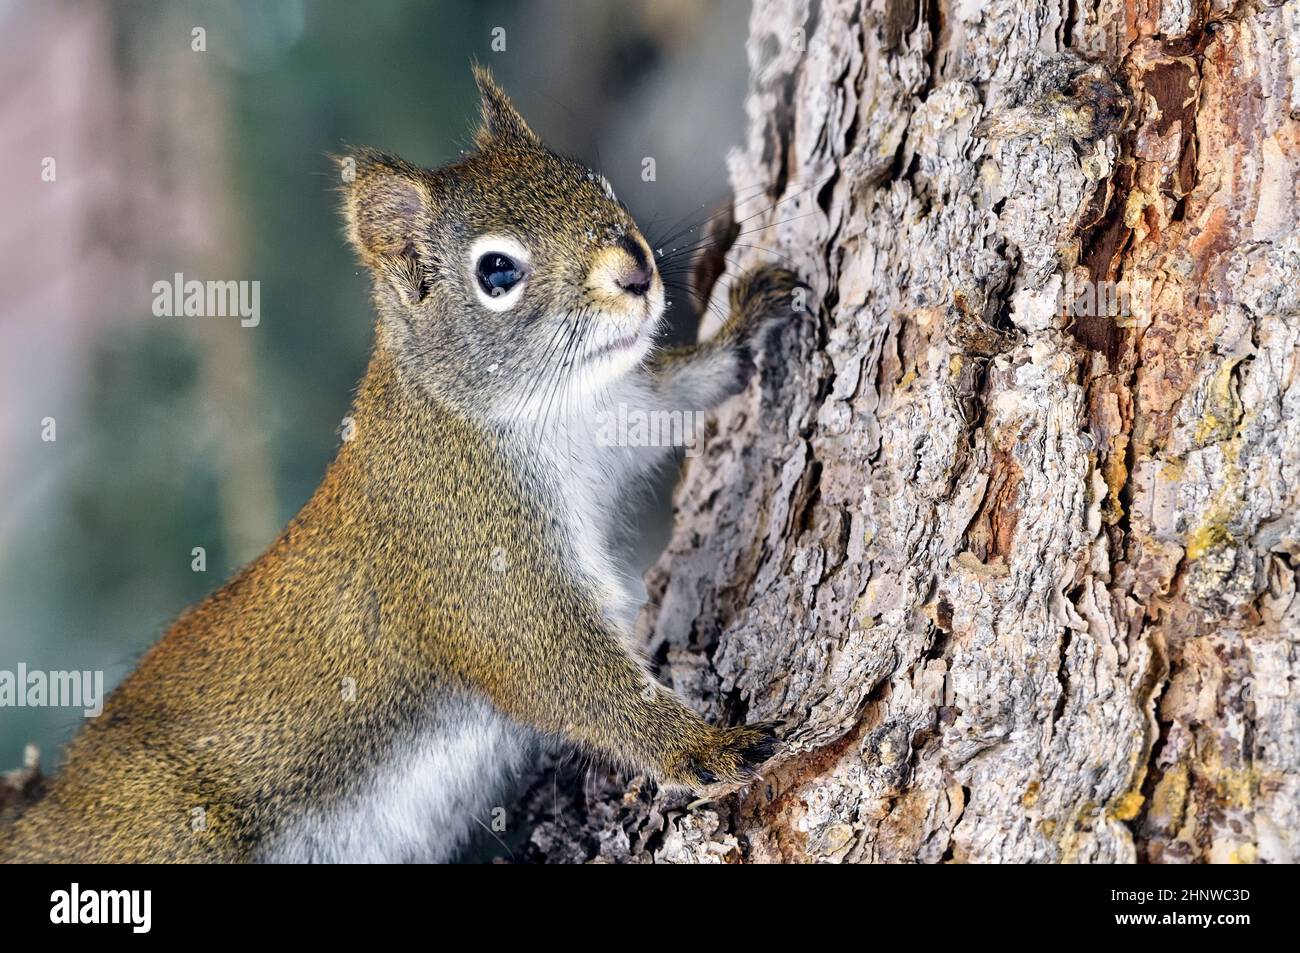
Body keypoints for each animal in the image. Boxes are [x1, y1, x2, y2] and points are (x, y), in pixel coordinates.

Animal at [0, 67, 803, 863]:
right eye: (497, 271)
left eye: (594, 181)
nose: (635, 270)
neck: (544, 412)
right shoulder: (479, 560)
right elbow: (566, 675)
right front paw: (705, 747)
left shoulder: (621, 416)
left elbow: (677, 393)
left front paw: (745, 328)